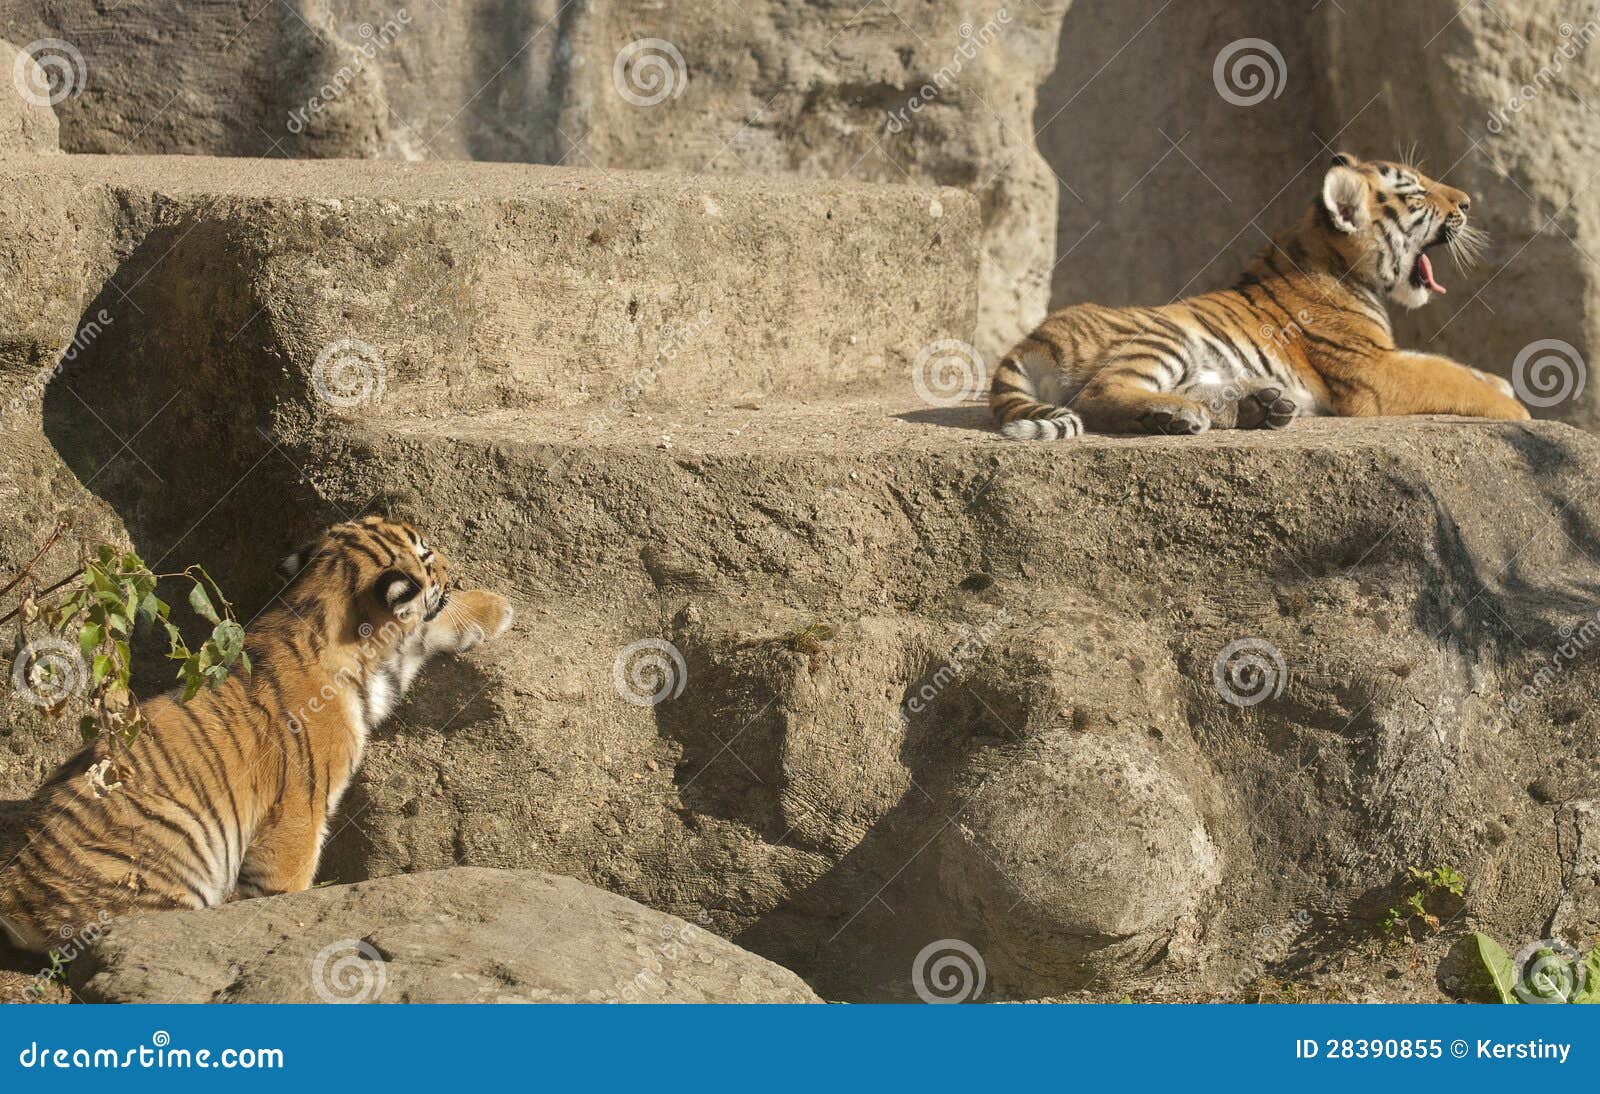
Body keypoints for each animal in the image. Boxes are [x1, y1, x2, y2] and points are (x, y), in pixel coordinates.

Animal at [0, 516, 513, 953]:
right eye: (426, 555)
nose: (451, 566)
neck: (317, 606)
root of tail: (13, 886)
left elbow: (428, 628)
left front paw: (494, 607)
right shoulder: (298, 813)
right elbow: (287, 883)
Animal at [991, 152, 1530, 439]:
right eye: (1417, 194)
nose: (1467, 202)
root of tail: (1030, 340)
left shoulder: (1385, 354)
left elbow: (1446, 363)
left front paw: (1499, 382)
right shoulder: (1371, 369)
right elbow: (1445, 376)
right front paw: (1516, 410)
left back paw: (1258, 406)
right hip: (1162, 336)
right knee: (1099, 393)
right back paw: (1181, 414)